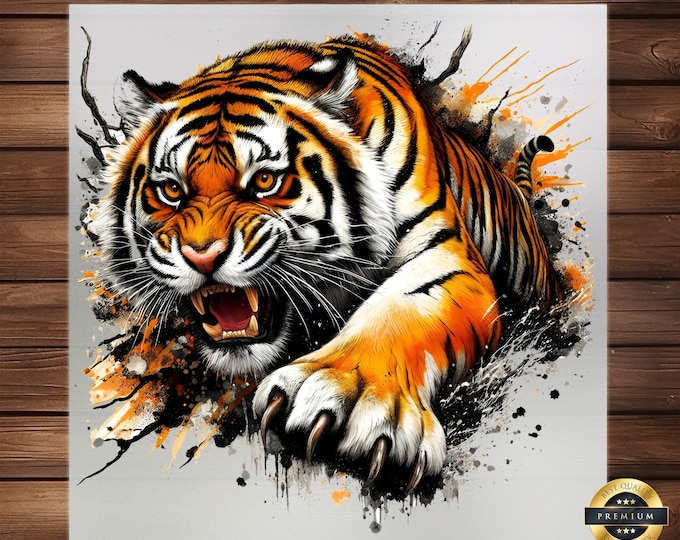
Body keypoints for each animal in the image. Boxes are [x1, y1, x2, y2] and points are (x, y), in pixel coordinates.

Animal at [92, 33, 563, 492]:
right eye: (171, 189)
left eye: (265, 181)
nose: (201, 255)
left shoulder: (447, 253)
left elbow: (399, 309)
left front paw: (353, 394)